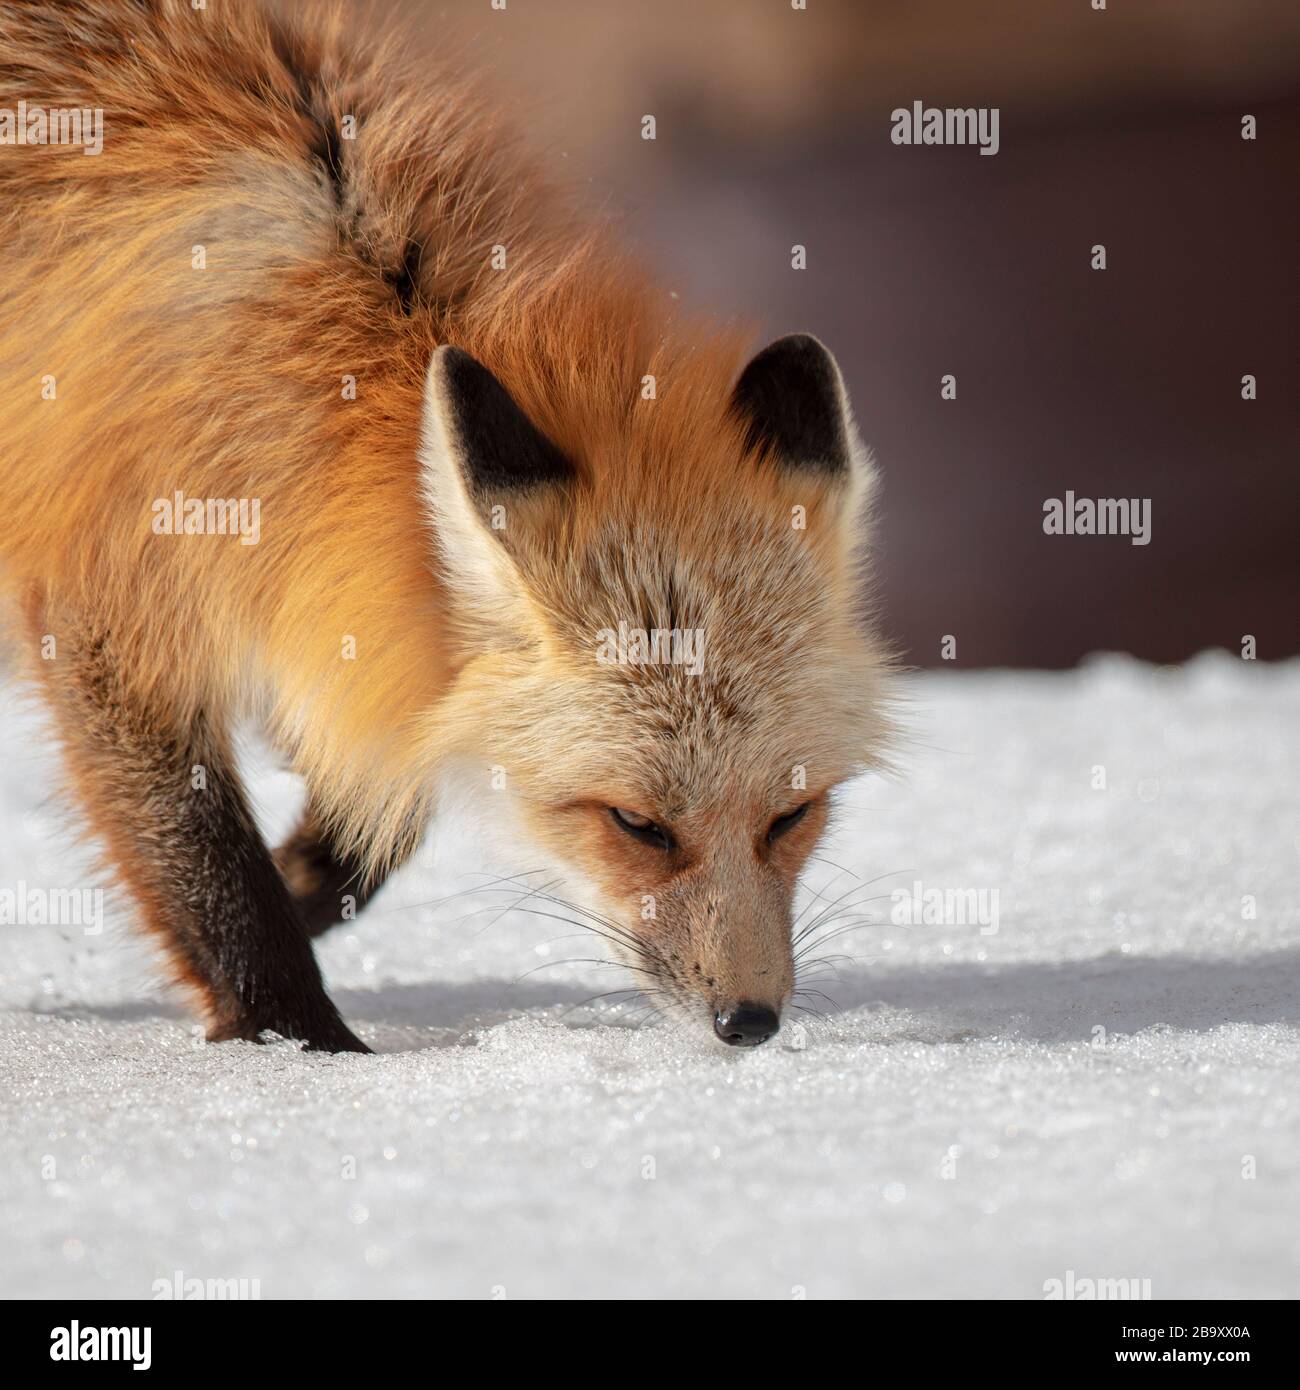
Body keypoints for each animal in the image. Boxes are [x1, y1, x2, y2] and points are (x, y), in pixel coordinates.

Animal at [0, 0, 892, 1053]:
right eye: (636, 825)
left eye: (793, 815)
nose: (747, 1023)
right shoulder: (115, 598)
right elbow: (210, 863)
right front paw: (298, 1048)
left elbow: (379, 789)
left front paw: (314, 872)